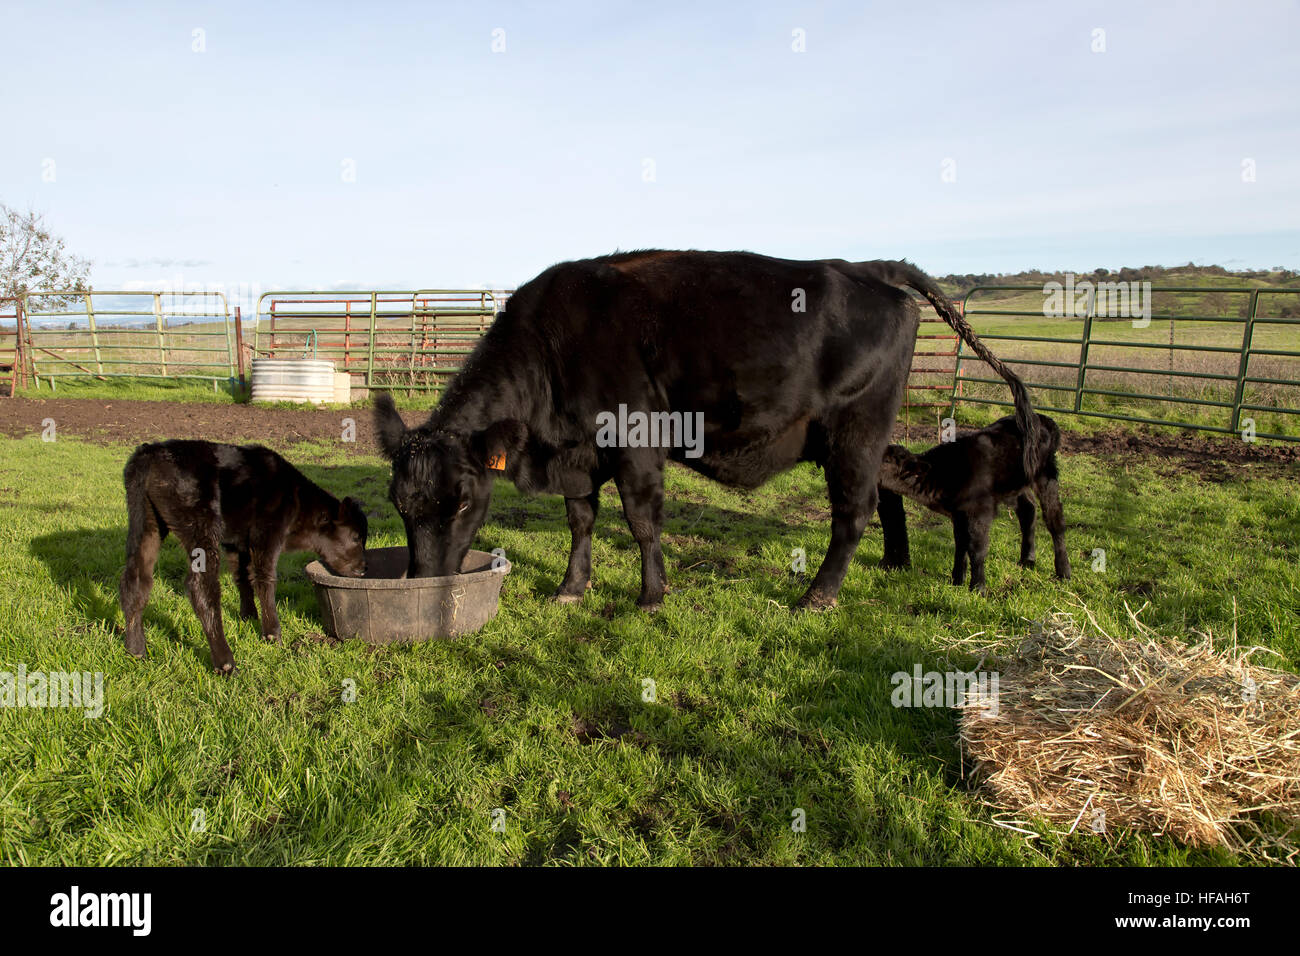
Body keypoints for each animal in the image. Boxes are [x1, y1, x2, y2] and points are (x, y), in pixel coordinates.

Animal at [120, 440, 368, 672]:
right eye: (356, 537)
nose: (364, 568)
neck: (296, 502)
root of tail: (150, 452)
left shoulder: (235, 542)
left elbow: (241, 576)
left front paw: (248, 616)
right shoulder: (267, 534)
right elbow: (264, 579)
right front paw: (272, 634)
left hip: (147, 523)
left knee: (136, 581)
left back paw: (136, 650)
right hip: (201, 526)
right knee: (202, 587)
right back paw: (226, 663)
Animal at [373, 251, 1039, 611]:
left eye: (462, 502)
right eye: (400, 506)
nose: (425, 582)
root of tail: (865, 268)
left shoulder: (636, 442)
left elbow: (641, 520)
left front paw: (650, 595)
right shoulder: (581, 455)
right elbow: (581, 519)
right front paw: (571, 587)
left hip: (856, 430)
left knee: (855, 513)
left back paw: (817, 596)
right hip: (860, 441)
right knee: (888, 494)